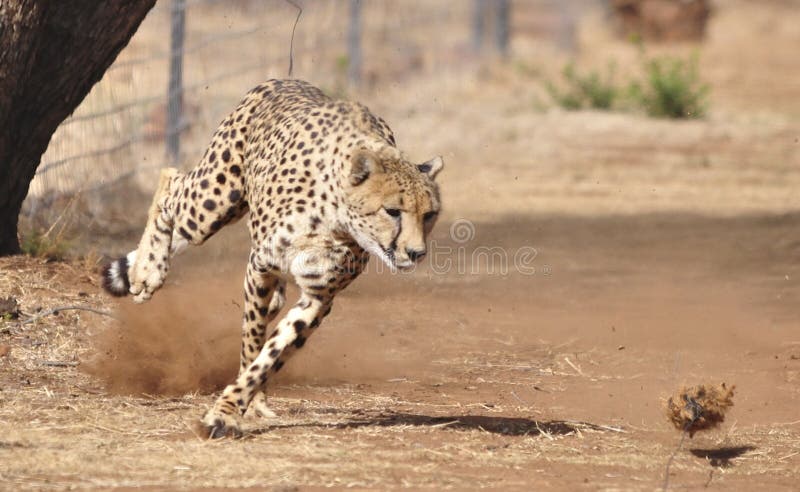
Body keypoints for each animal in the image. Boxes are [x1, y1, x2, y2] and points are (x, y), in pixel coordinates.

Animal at [101, 79, 443, 438]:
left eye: (430, 214)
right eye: (392, 211)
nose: (416, 252)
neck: (335, 221)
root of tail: (284, 80)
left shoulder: (319, 297)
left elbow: (272, 354)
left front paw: (230, 409)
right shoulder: (260, 267)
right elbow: (253, 341)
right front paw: (243, 405)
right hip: (213, 202)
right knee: (170, 183)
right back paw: (147, 270)